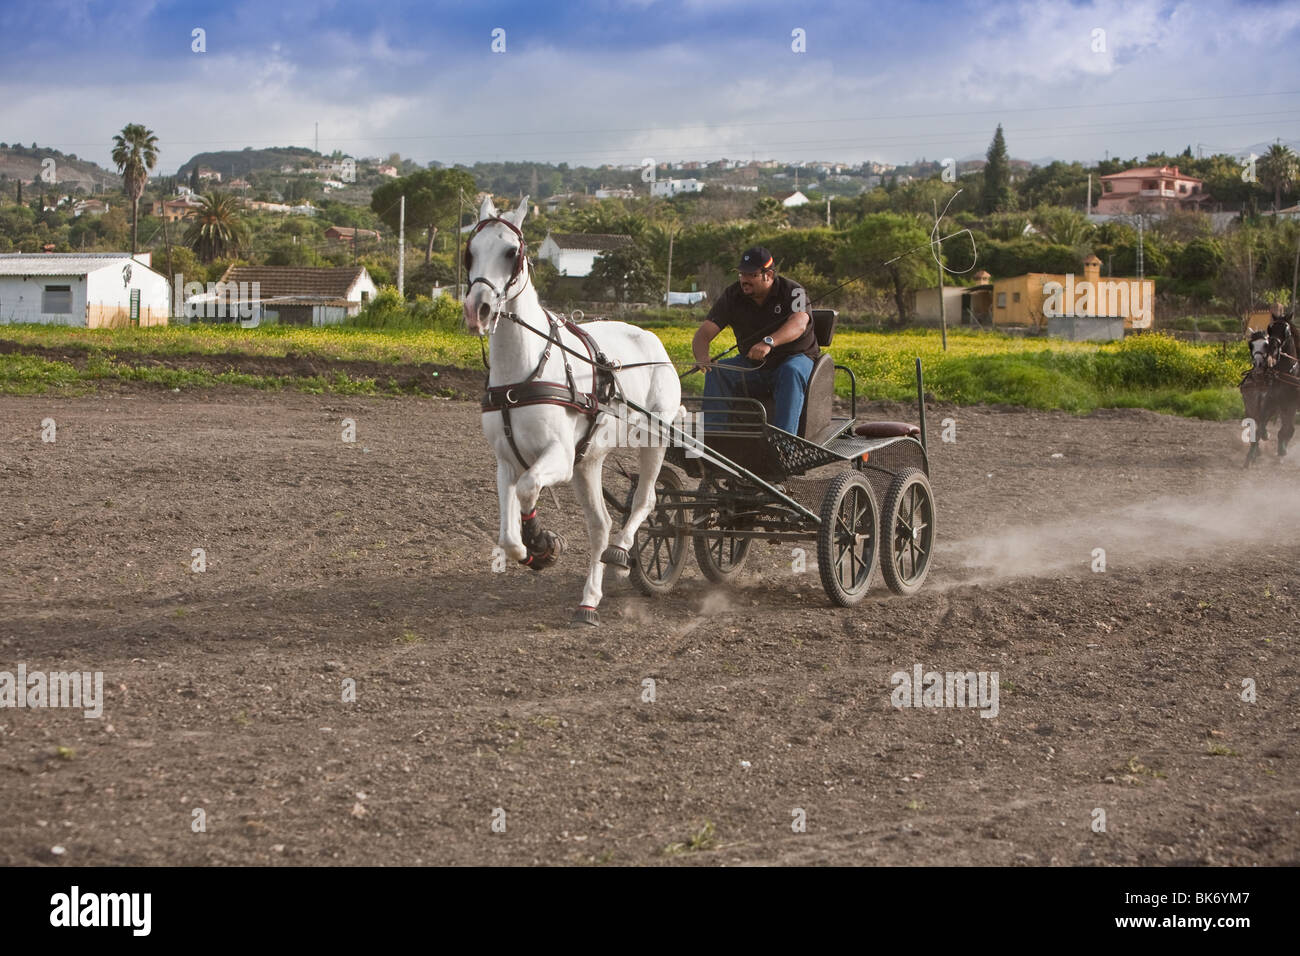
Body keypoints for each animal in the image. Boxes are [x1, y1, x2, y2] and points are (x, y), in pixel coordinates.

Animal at [462, 195, 682, 626]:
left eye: (512, 253)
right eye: (471, 252)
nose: (477, 308)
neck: (524, 372)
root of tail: (653, 340)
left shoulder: (558, 458)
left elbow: (529, 488)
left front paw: (542, 540)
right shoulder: (506, 462)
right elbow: (507, 536)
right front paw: (536, 550)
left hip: (653, 439)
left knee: (646, 501)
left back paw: (621, 553)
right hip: (588, 461)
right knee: (600, 524)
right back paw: (589, 600)